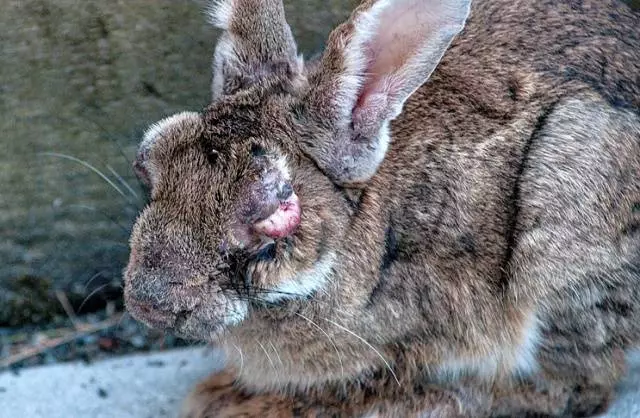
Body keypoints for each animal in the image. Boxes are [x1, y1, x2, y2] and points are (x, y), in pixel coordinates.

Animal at [124, 0, 640, 416]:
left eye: (277, 213)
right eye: (148, 163)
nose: (148, 303)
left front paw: (234, 401)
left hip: (562, 228)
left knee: (574, 386)